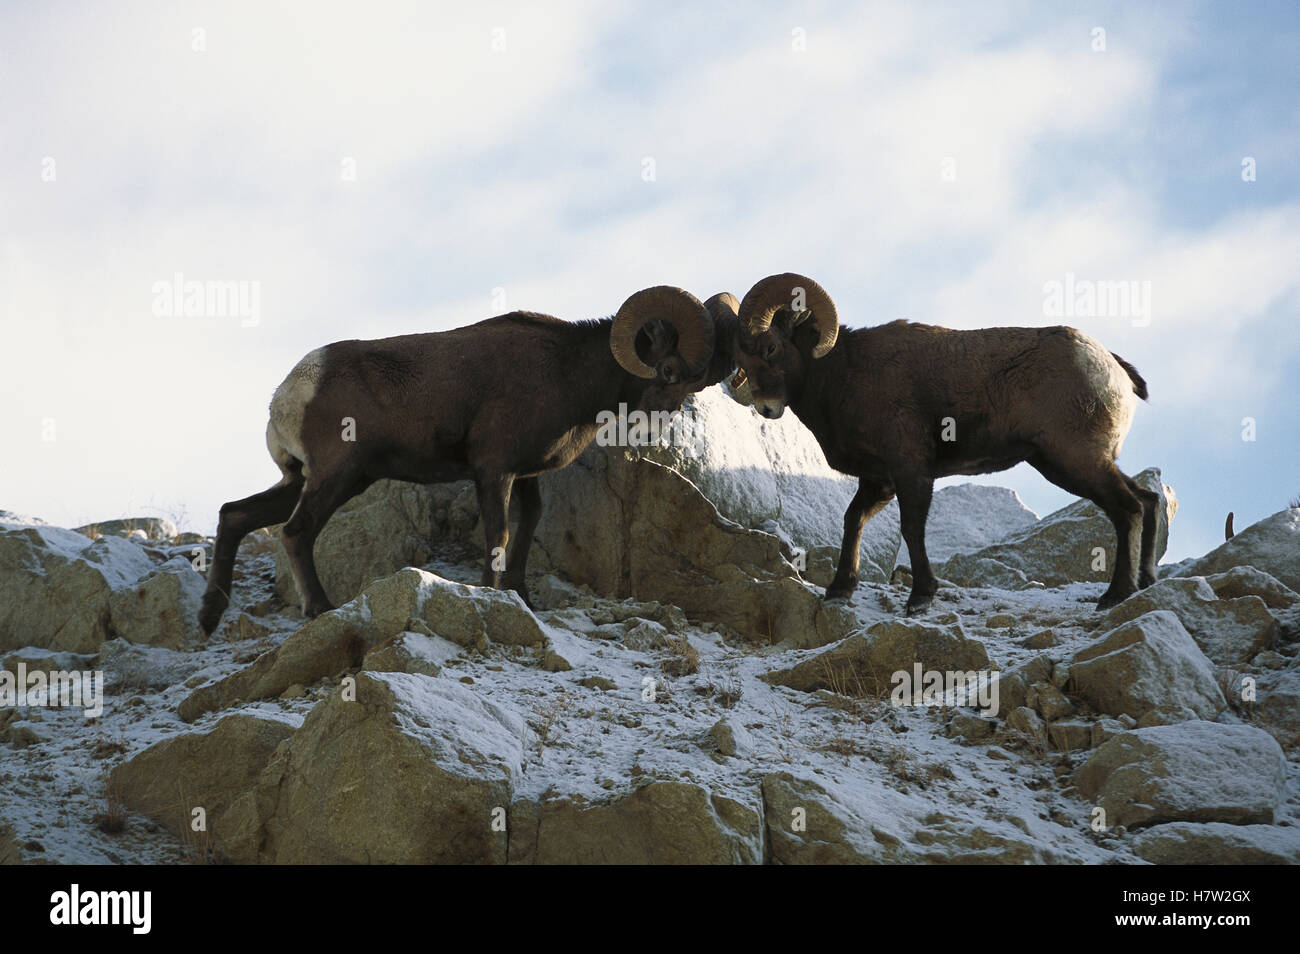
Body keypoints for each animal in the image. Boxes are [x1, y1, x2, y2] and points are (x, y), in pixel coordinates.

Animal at [197, 286, 740, 635]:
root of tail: (289, 393)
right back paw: (319, 609)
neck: (566, 373)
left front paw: (523, 597)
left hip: (310, 479)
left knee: (235, 515)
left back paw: (208, 619)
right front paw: (491, 593)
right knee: (295, 532)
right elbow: (498, 534)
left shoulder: (525, 476)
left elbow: (527, 527)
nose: (657, 421)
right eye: (667, 368)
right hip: (336, 477)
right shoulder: (492, 470)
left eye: (697, 381)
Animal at [727, 272, 1158, 615]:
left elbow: (911, 528)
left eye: (770, 347)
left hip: (1075, 460)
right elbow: (853, 521)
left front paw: (920, 597)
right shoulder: (879, 482)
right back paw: (1146, 582)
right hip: (1069, 463)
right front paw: (839, 590)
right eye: (741, 357)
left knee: (1129, 507)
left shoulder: (911, 471)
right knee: (1149, 499)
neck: (843, 375)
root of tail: (1113, 368)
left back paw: (1116, 595)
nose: (766, 408)